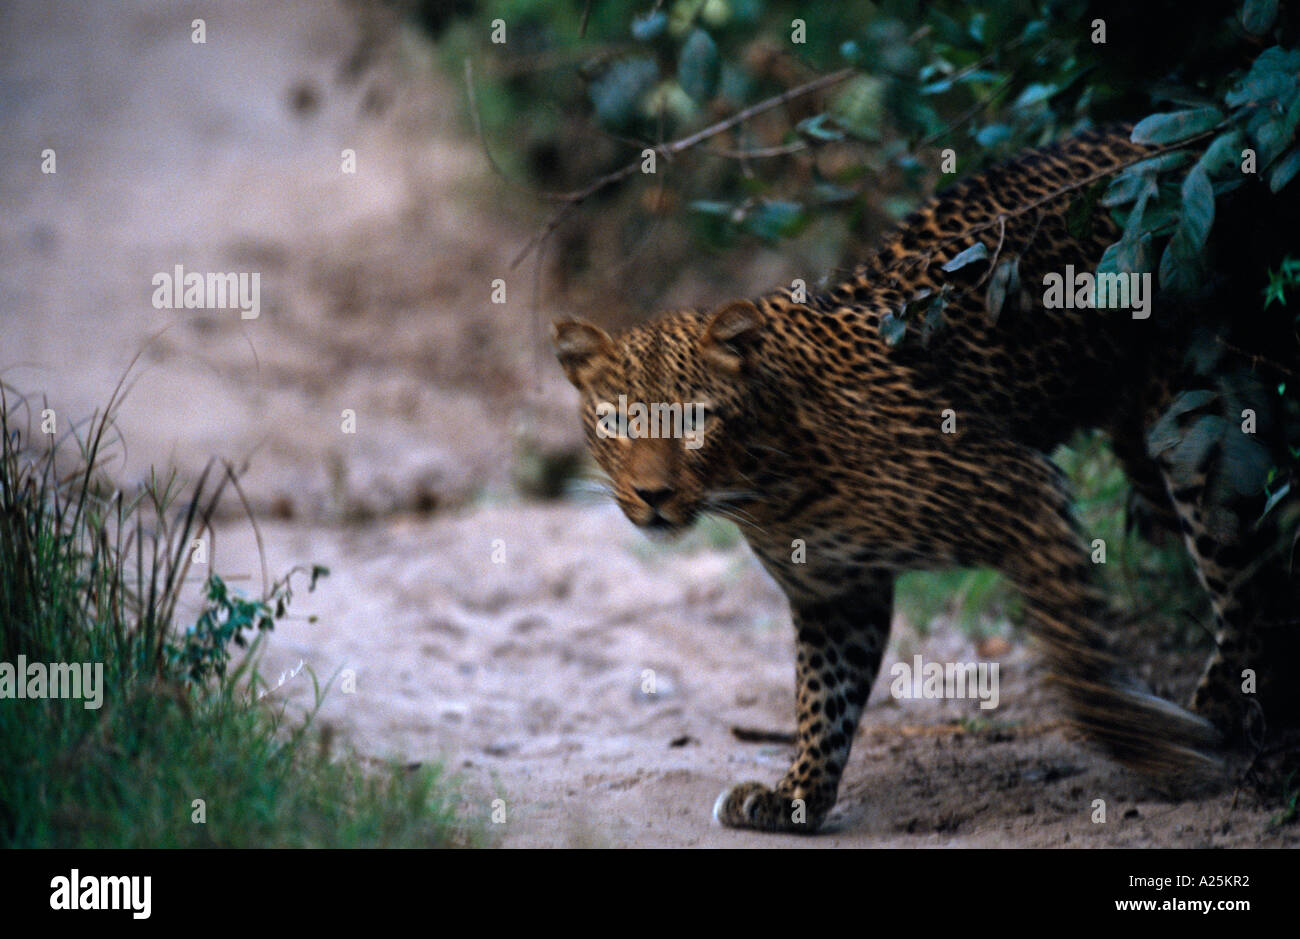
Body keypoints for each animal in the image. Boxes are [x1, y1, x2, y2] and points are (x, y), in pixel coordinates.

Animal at [552, 124, 1300, 833]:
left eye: (696, 420)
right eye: (616, 421)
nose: (651, 496)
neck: (763, 488)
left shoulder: (1019, 488)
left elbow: (1075, 662)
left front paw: (1157, 753)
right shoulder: (835, 592)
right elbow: (823, 698)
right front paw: (798, 795)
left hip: (1199, 426)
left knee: (1246, 585)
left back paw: (1217, 718)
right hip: (1146, 445)